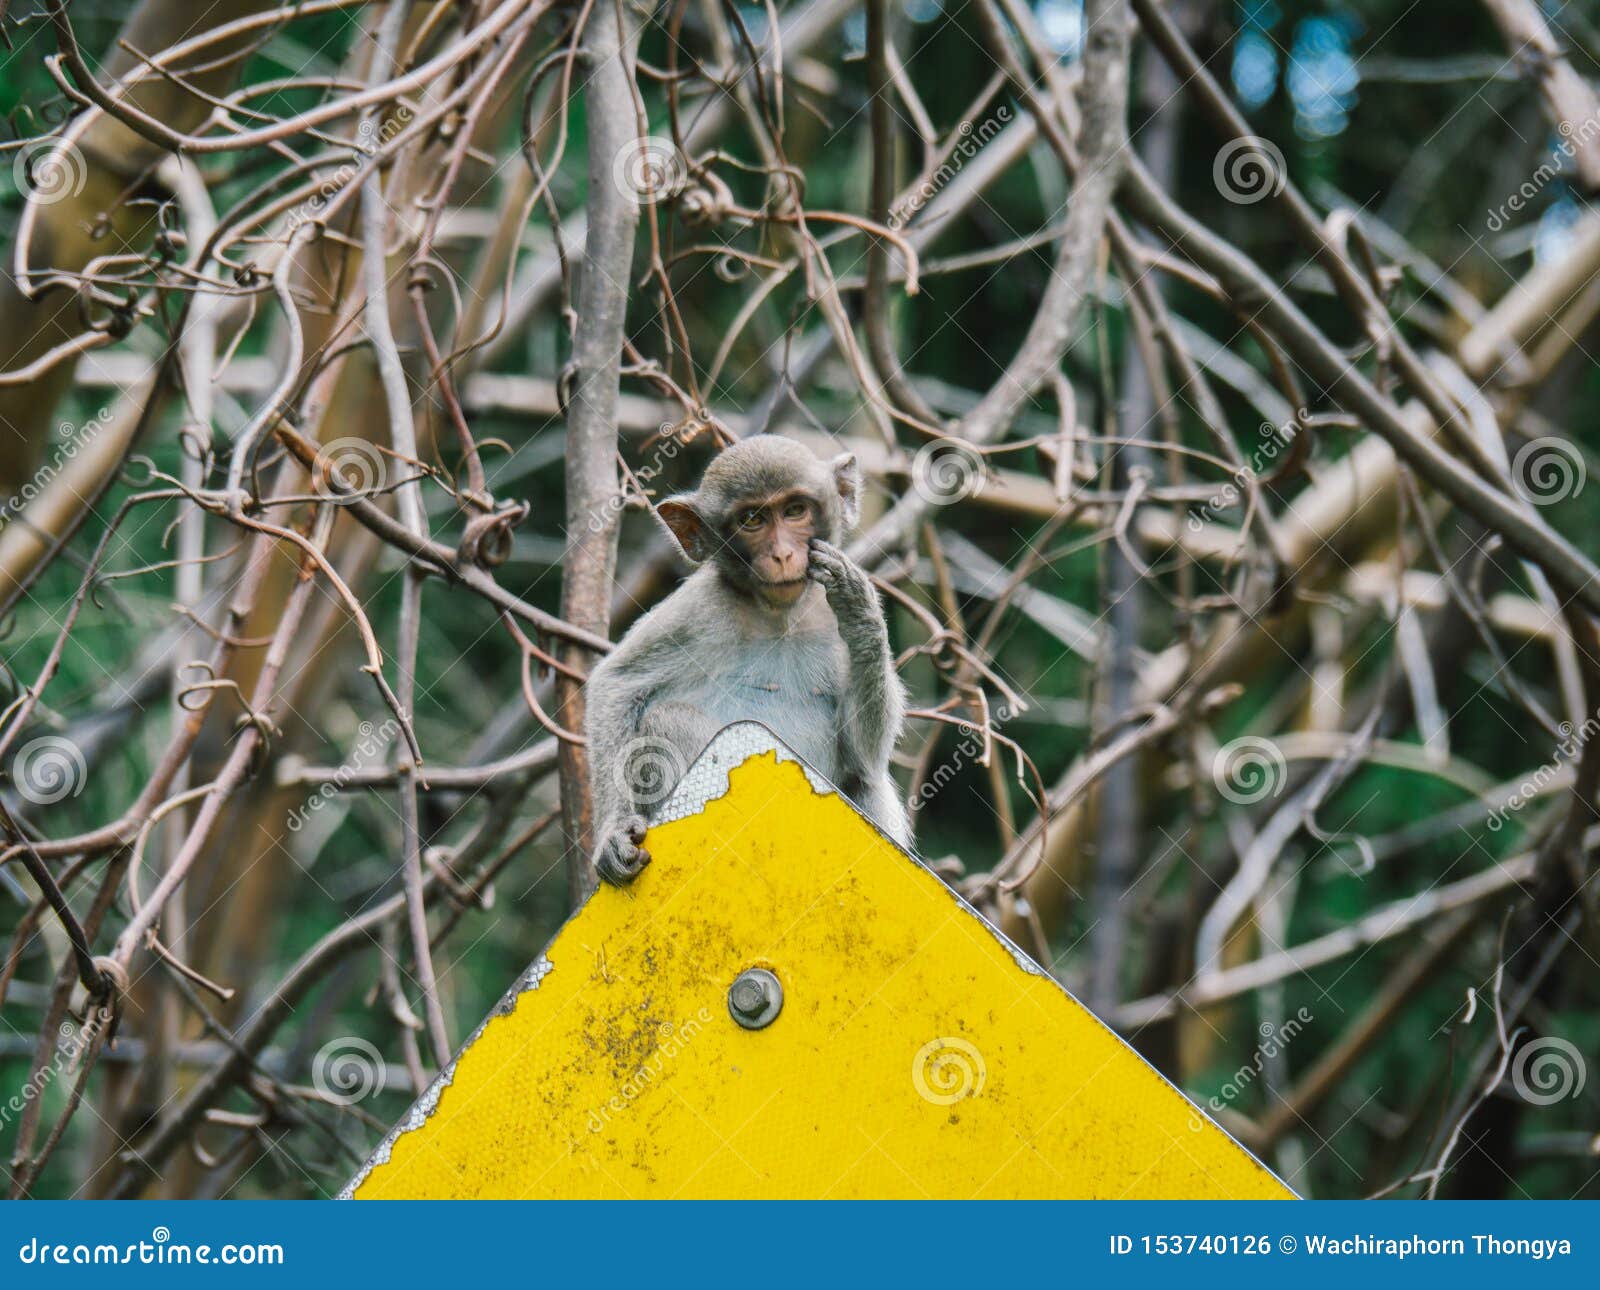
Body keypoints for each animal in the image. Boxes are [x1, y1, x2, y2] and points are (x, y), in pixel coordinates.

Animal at [583, 435, 908, 885]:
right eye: (752, 519)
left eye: (795, 510)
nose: (783, 555)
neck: (777, 614)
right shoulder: (701, 607)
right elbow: (617, 684)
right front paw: (613, 834)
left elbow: (865, 757)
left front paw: (858, 607)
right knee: (665, 720)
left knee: (867, 782)